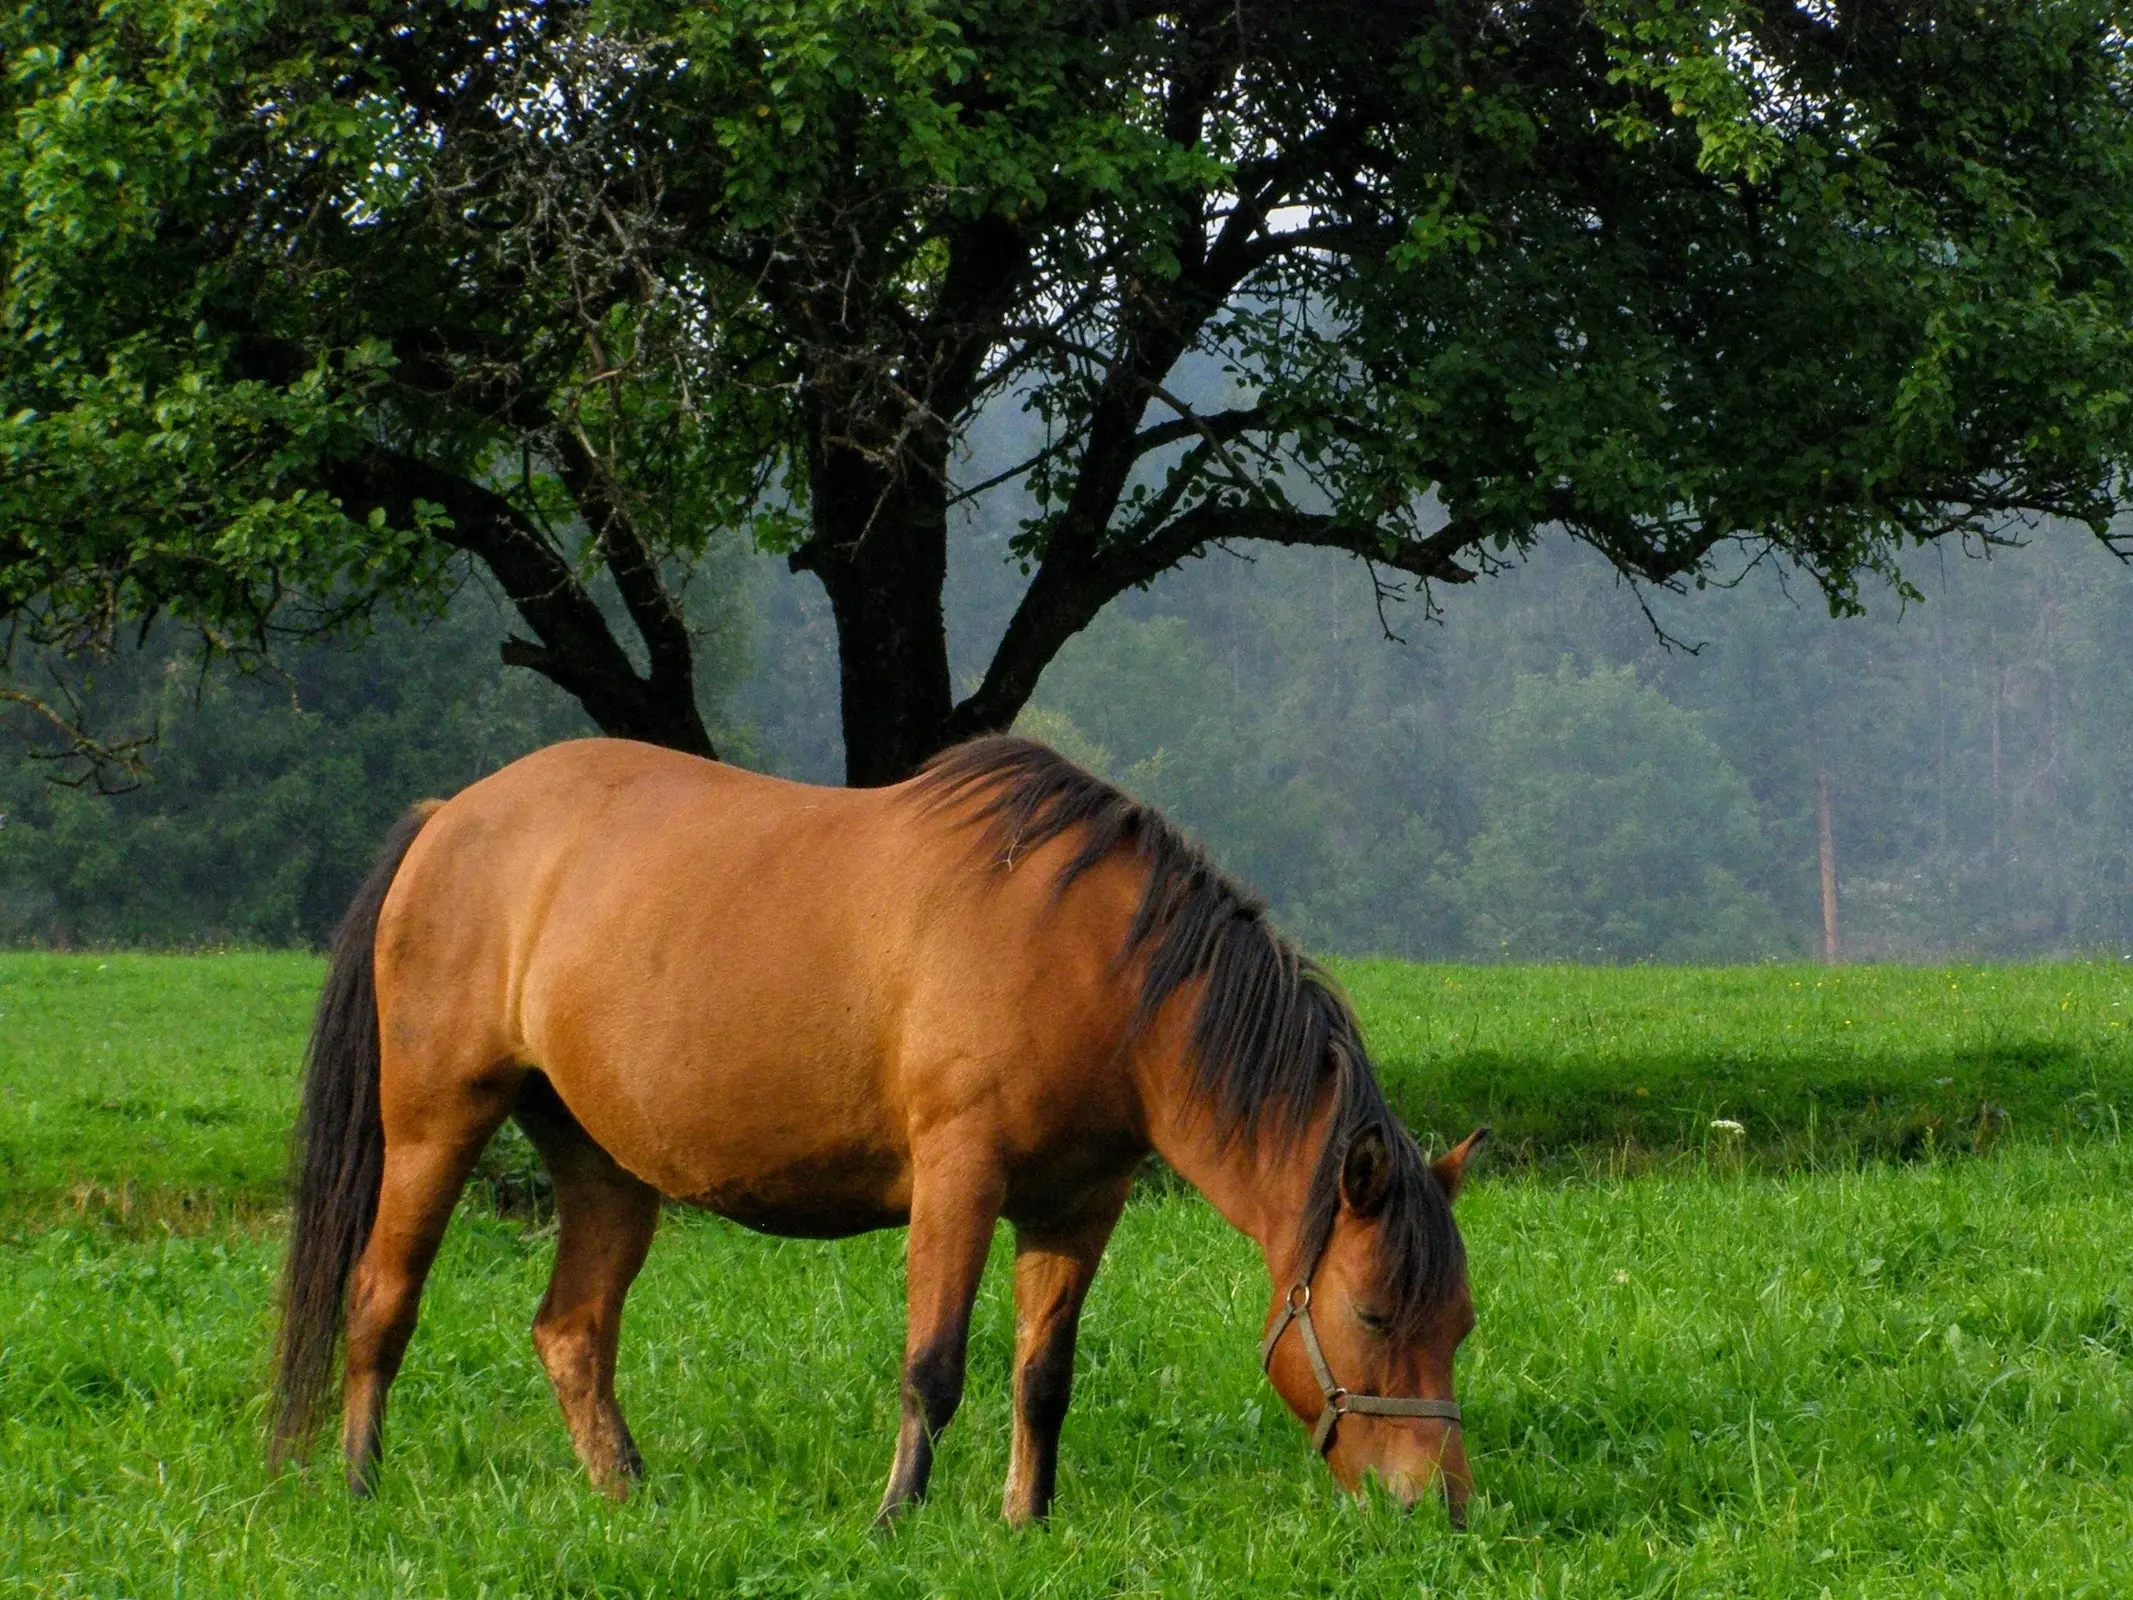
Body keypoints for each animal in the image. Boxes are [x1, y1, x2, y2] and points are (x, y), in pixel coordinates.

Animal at [270, 735, 1486, 1524]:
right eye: (1373, 1312)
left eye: (1462, 1324)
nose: (1440, 1505)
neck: (1101, 967)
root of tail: (449, 817)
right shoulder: (958, 1176)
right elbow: (933, 1365)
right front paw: (897, 1518)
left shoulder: (1079, 1206)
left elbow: (1044, 1375)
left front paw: (1026, 1520)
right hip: (435, 1120)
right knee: (379, 1300)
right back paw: (361, 1488)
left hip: (603, 1162)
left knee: (572, 1332)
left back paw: (629, 1499)